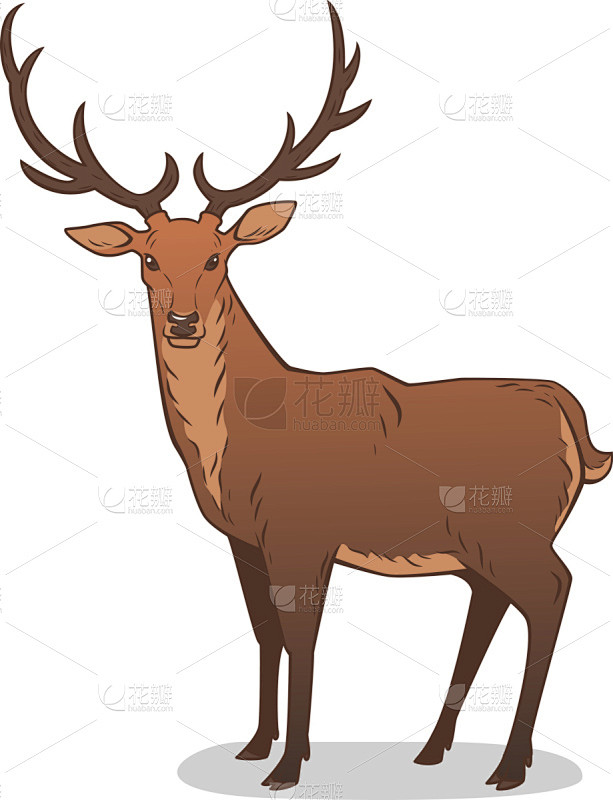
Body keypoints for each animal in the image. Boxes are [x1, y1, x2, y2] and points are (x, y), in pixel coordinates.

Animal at [3, 2, 611, 792]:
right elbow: (264, 632)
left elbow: (303, 639)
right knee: (492, 606)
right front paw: (255, 744)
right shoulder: (244, 539)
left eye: (216, 256)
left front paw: (290, 764)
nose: (183, 320)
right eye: (147, 258)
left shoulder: (302, 531)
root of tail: (575, 421)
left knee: (552, 593)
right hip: (481, 540)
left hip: (513, 526)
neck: (234, 445)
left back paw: (508, 764)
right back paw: (436, 749)